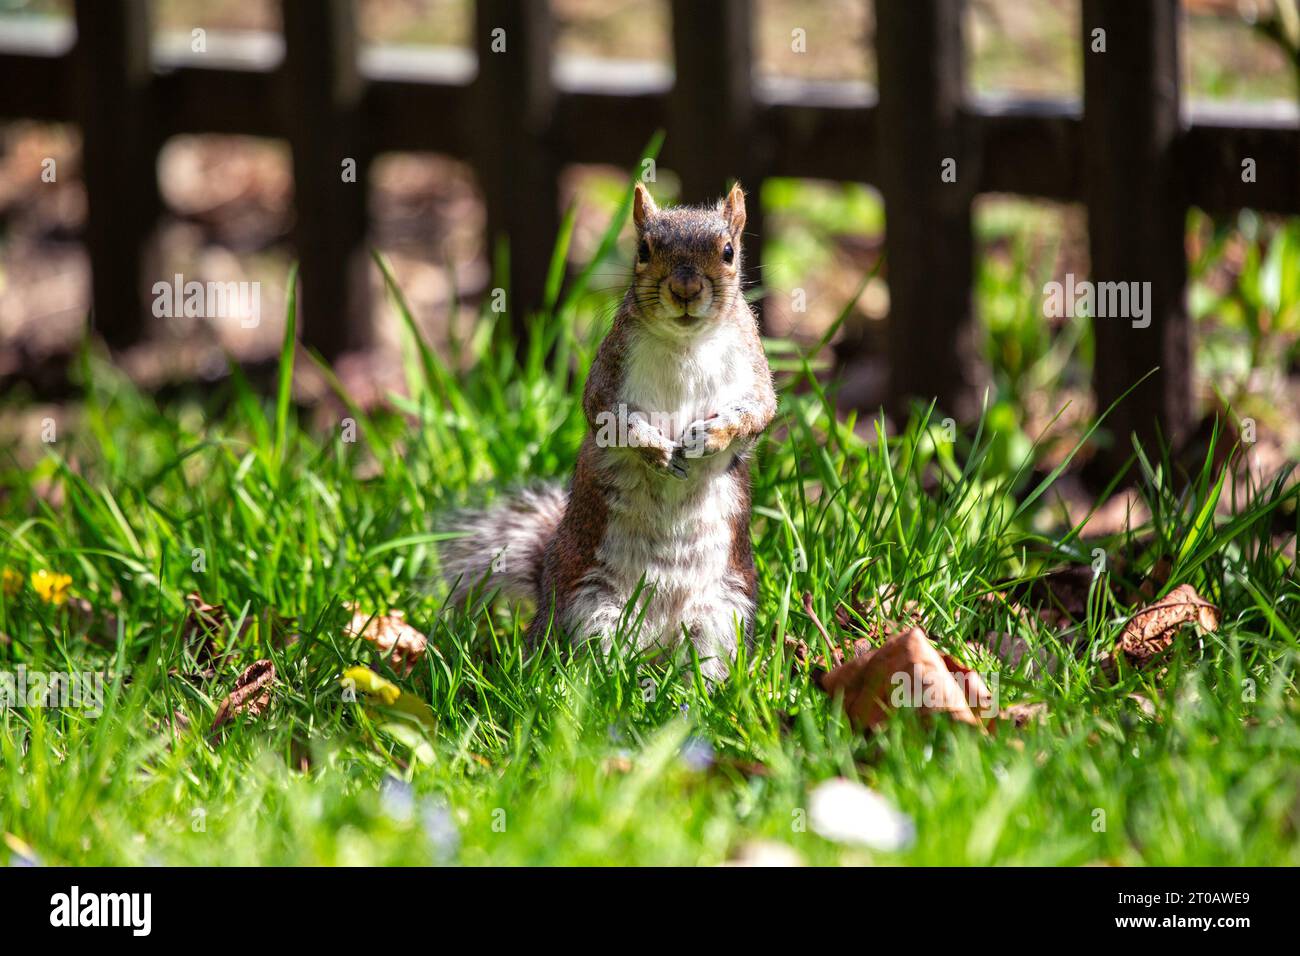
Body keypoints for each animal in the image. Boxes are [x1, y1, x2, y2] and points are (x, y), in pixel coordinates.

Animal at [440, 182, 777, 682]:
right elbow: (608, 417)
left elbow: (759, 411)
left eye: (728, 252)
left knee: (706, 660)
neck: (685, 343)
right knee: (591, 666)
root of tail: (658, 644)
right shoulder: (608, 370)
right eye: (643, 251)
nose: (685, 289)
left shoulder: (752, 365)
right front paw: (656, 450)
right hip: (590, 606)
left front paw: (711, 437)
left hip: (722, 612)